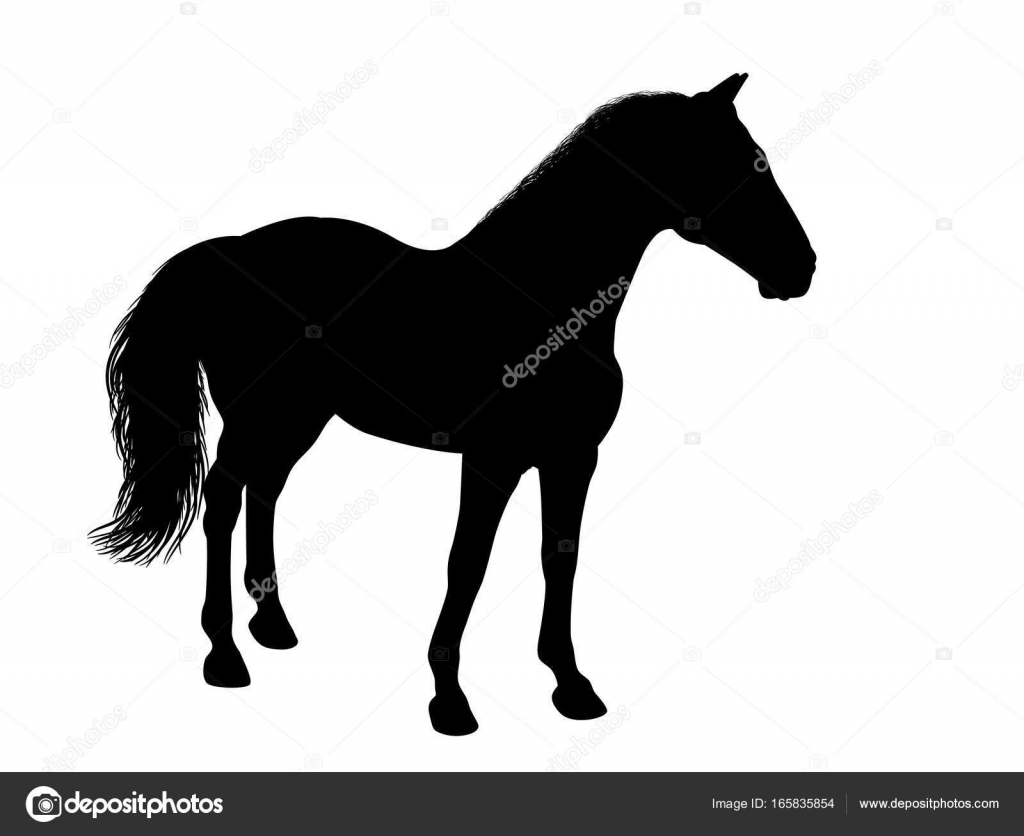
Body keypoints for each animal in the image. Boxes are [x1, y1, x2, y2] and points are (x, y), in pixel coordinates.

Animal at [91, 73, 816, 735]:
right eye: (731, 164)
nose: (802, 268)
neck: (541, 302)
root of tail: (225, 252)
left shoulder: (572, 457)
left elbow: (560, 555)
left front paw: (571, 685)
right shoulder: (492, 460)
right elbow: (467, 564)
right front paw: (450, 699)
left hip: (297, 419)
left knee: (263, 493)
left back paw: (273, 625)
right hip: (257, 416)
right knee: (222, 500)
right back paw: (224, 655)